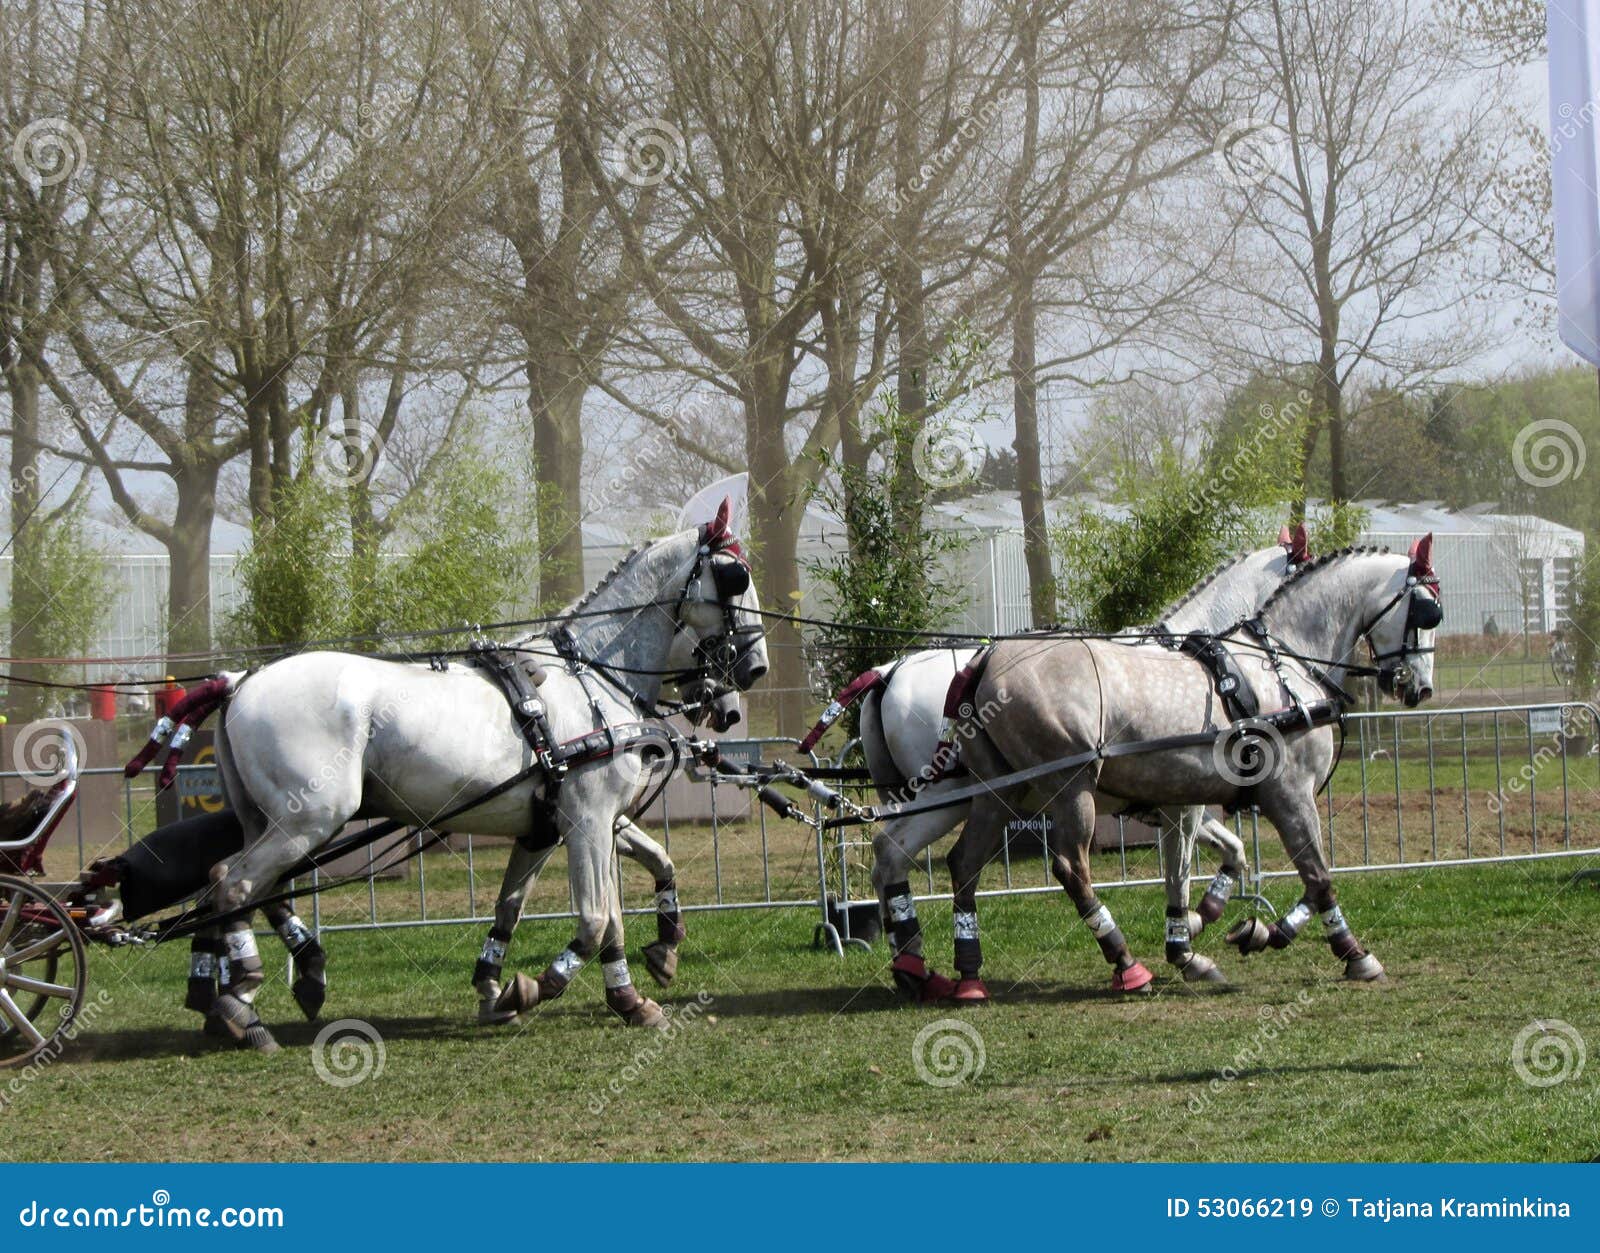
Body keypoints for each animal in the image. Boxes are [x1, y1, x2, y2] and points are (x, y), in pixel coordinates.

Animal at [200, 501, 764, 1050]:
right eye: (735, 577)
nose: (751, 672)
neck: (592, 676)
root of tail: (241, 681)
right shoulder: (588, 820)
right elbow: (595, 918)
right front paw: (533, 988)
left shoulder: (558, 828)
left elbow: (577, 904)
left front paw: (626, 991)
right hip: (311, 819)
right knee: (233, 882)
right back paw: (241, 1004)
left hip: (275, 822)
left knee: (252, 888)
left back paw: (276, 980)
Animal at [804, 528, 1314, 1003]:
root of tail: (889, 673)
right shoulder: (1185, 805)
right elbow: (1195, 865)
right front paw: (1190, 935)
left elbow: (1235, 852)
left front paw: (1201, 921)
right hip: (952, 798)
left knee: (892, 856)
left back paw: (915, 968)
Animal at [945, 540, 1440, 994]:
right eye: (1426, 612)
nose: (1419, 688)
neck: (1281, 667)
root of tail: (988, 659)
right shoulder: (1288, 795)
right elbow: (1316, 877)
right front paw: (1352, 952)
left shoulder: (1183, 801)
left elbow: (1206, 866)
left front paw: (1230, 934)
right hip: (1071, 788)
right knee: (1071, 869)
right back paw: (1125, 962)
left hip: (999, 790)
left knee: (964, 862)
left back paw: (968, 972)